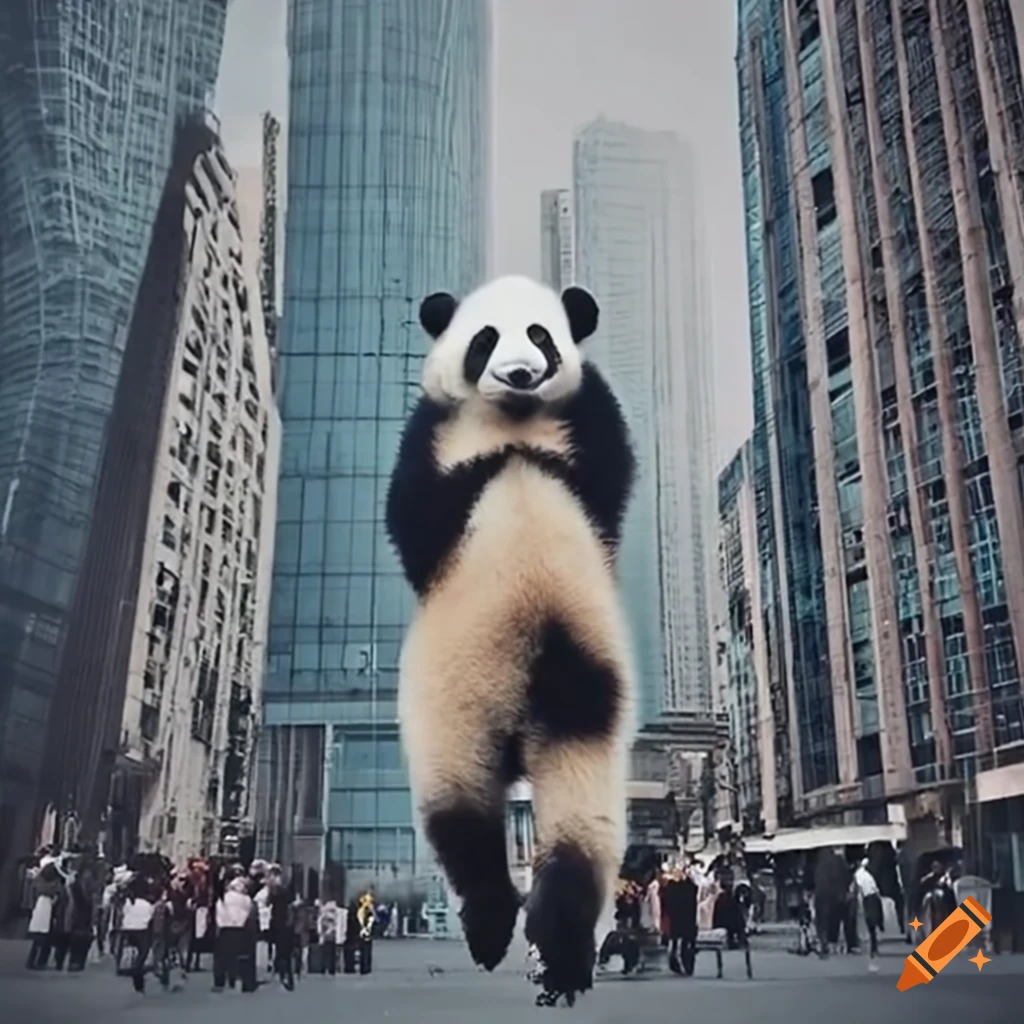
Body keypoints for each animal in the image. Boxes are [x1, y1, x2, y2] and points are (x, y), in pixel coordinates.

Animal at [385, 274, 636, 1005]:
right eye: (485, 339)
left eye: (542, 336)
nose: (521, 374)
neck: (515, 423)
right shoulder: (431, 435)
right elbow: (415, 517)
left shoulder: (587, 431)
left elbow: (605, 483)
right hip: (462, 686)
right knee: (462, 806)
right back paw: (505, 929)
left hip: (575, 685)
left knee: (573, 826)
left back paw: (550, 943)